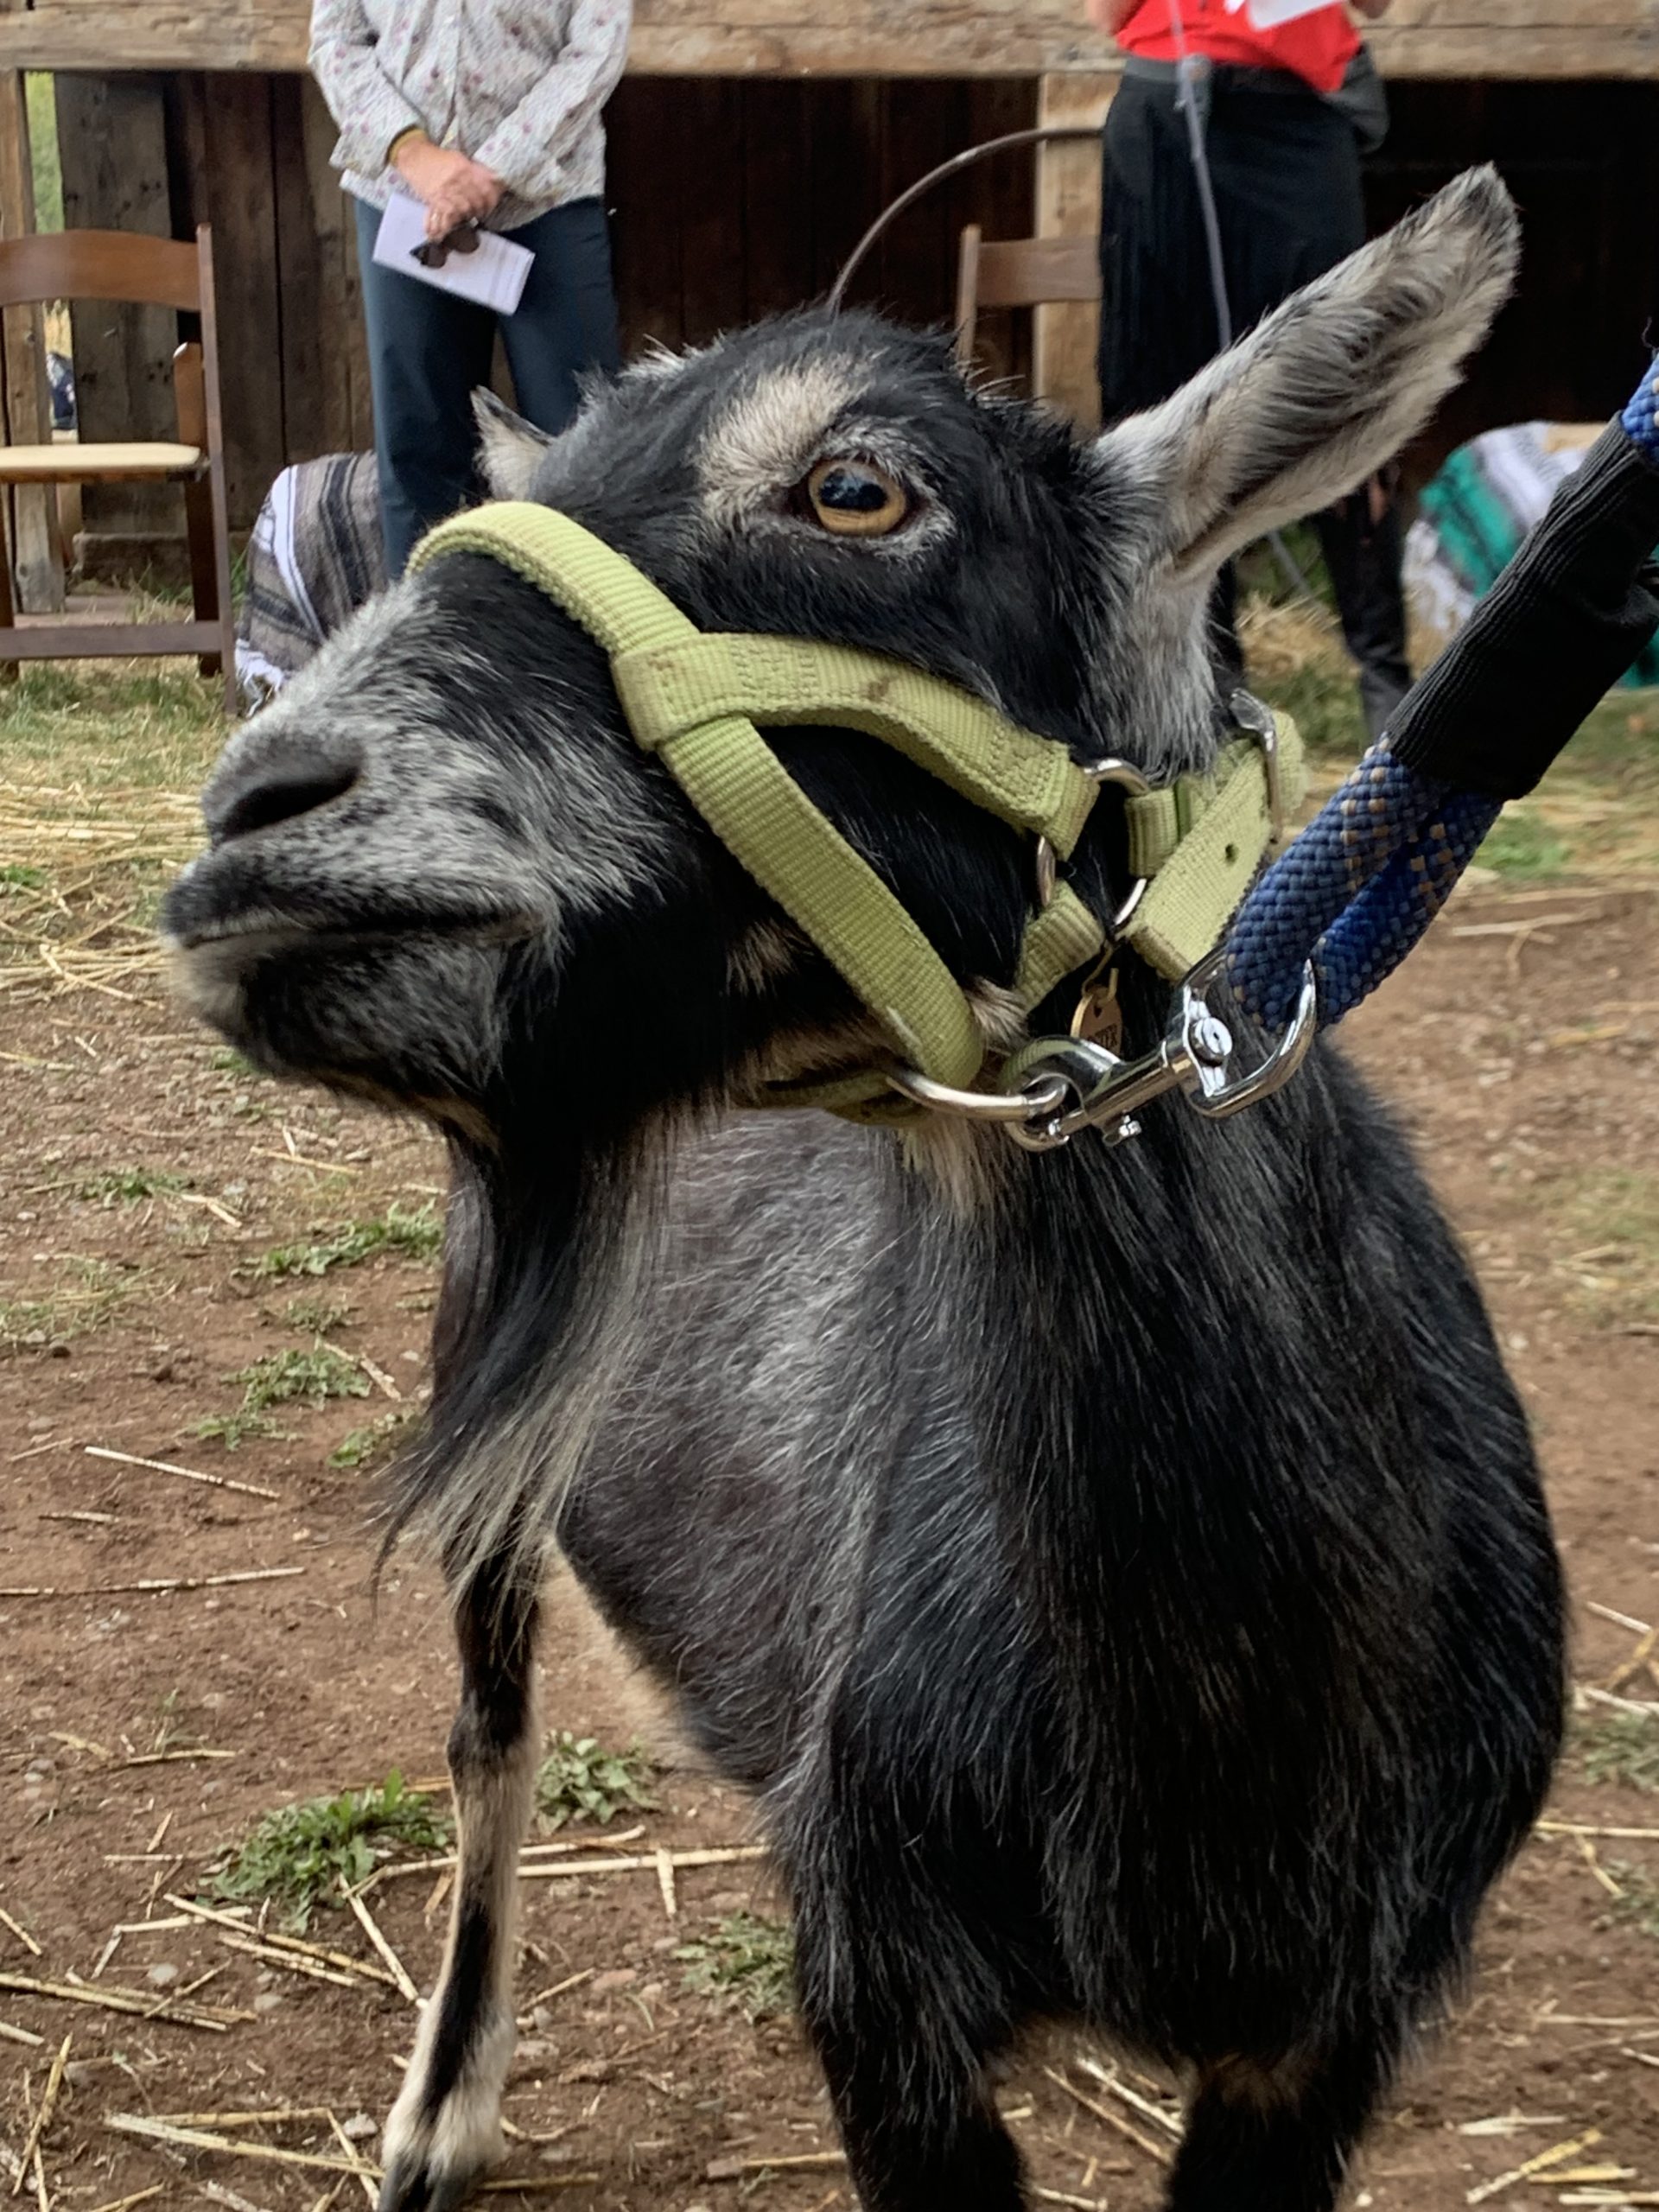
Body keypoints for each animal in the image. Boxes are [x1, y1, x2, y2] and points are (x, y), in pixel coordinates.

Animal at [163, 167, 1565, 2212]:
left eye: (856, 488)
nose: (257, 814)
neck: (1223, 1735)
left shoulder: (1329, 2036)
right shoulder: (878, 1978)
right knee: (489, 1736)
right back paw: (440, 2111)